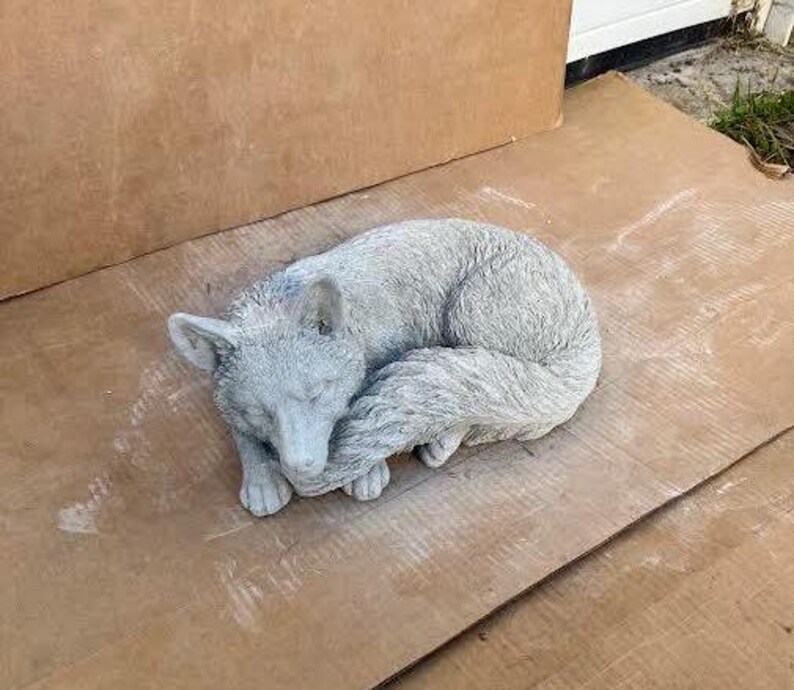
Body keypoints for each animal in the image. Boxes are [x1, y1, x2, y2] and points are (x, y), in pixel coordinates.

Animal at [168, 218, 602, 516]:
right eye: (259, 412)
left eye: (318, 393)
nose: (301, 468)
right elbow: (239, 433)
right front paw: (261, 480)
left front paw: (365, 472)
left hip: (471, 314)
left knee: (485, 383)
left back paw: (442, 439)